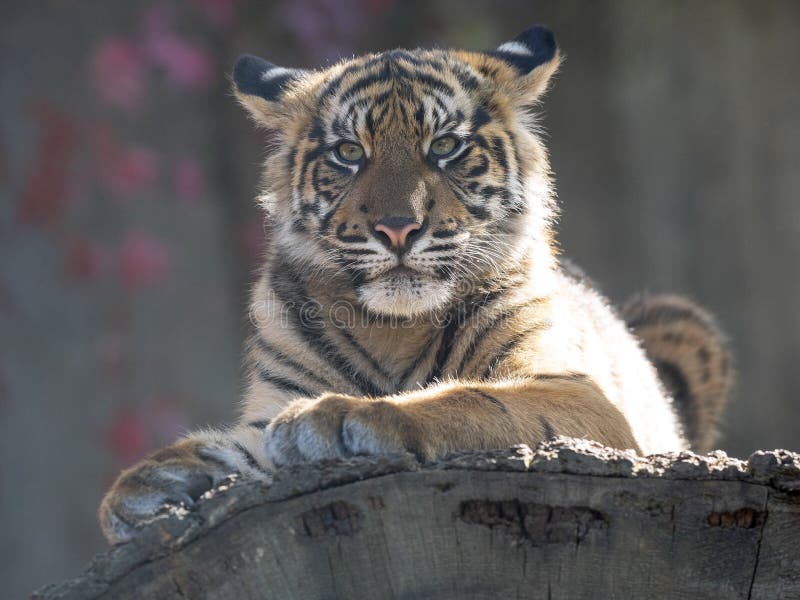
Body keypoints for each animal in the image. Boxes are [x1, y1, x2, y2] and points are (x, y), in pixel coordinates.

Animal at [99, 25, 733, 544]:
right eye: (349, 152)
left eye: (445, 146)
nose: (397, 228)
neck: (392, 326)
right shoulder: (273, 395)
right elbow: (246, 441)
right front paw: (147, 483)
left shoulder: (578, 394)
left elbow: (471, 400)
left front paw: (337, 418)